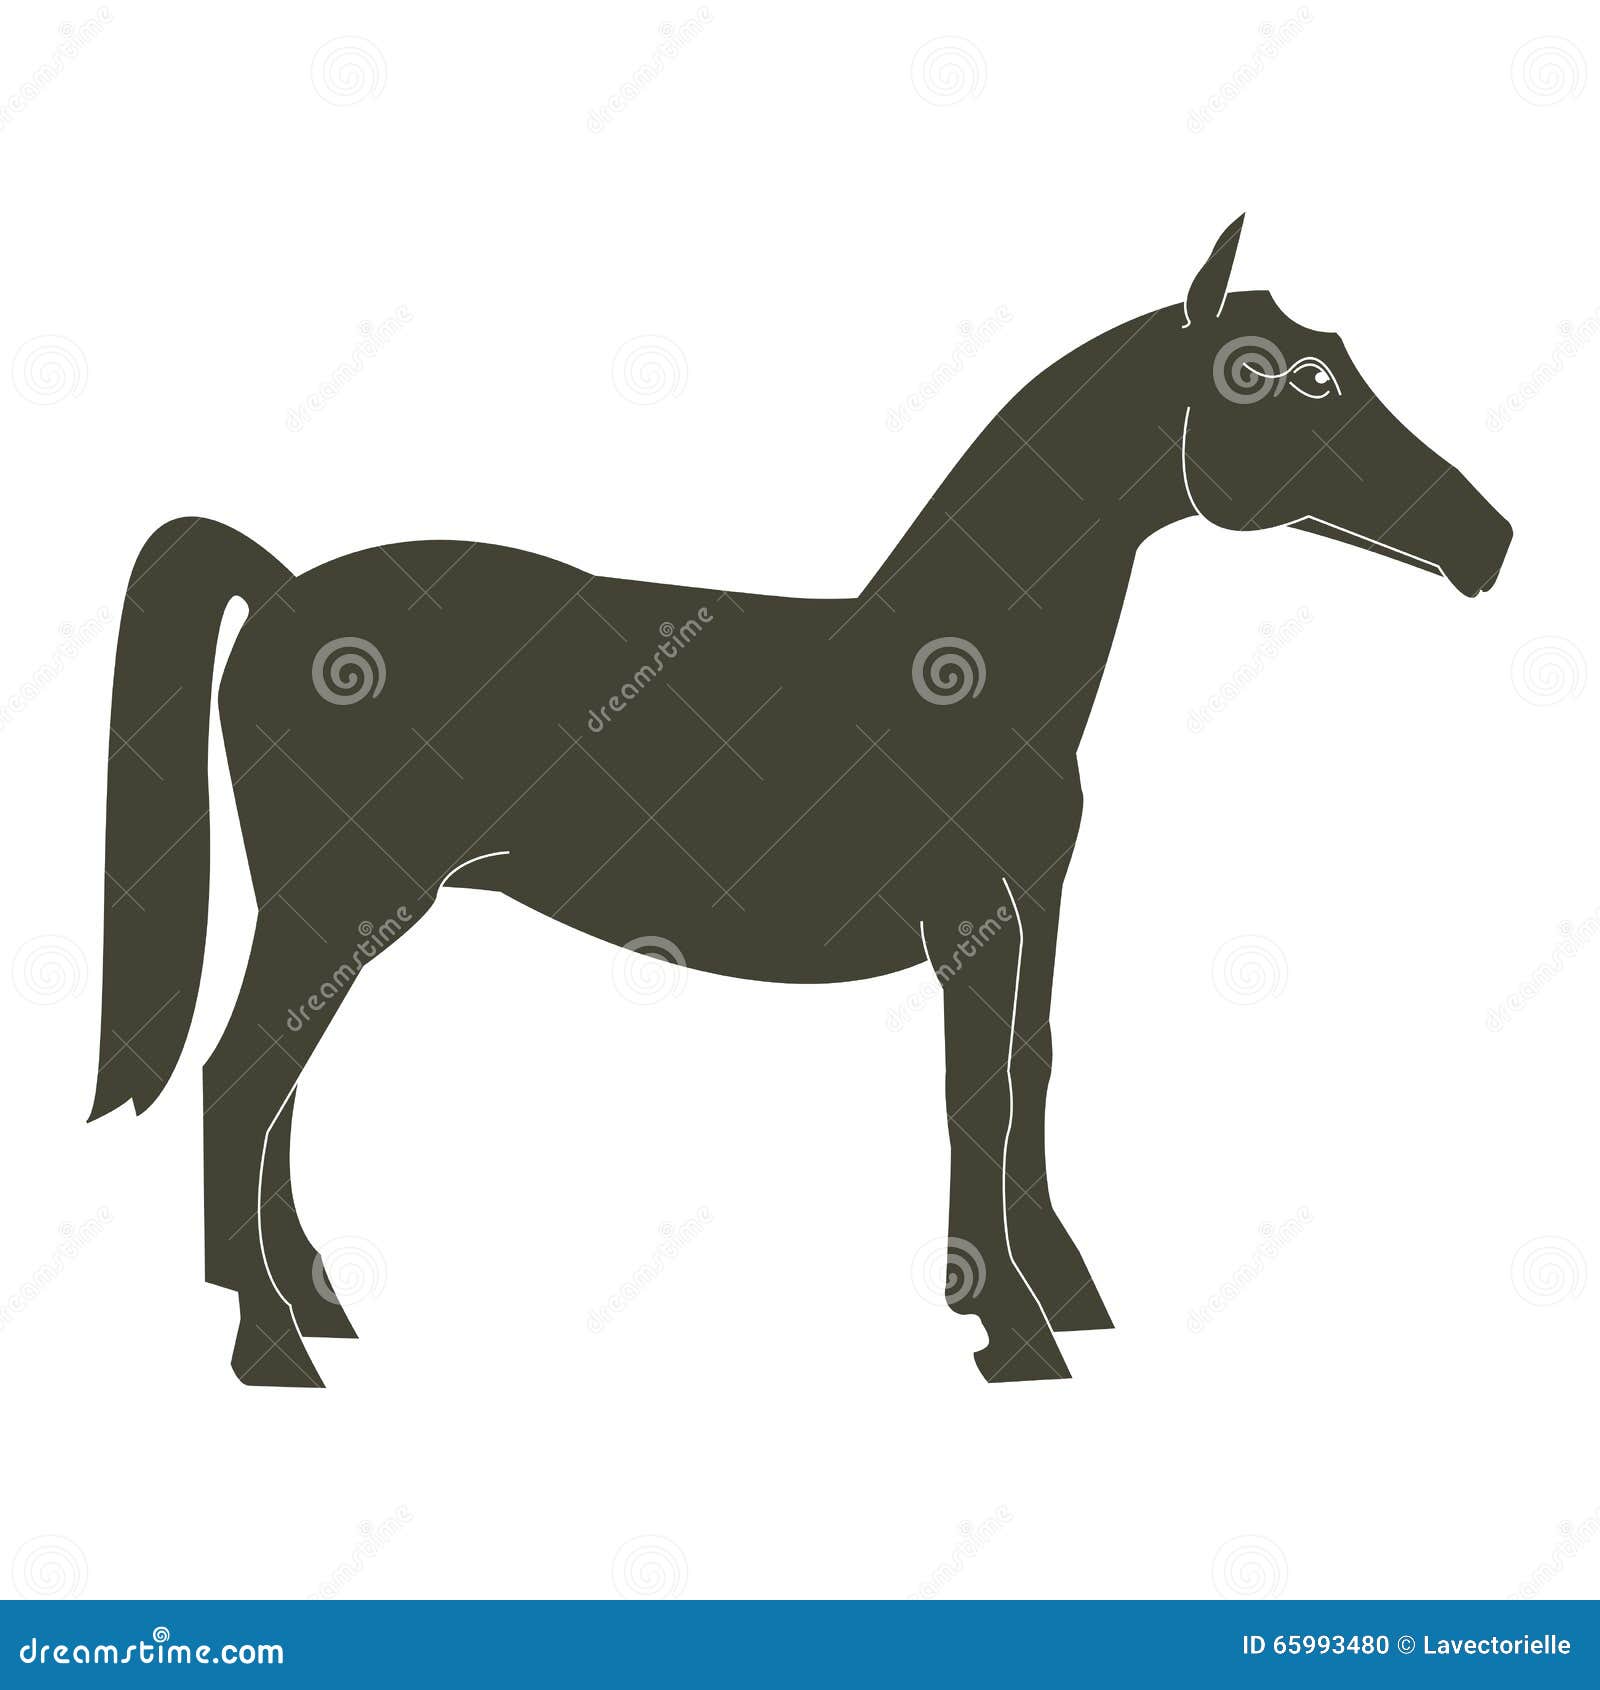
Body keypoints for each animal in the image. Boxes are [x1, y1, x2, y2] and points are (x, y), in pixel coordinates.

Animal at [89, 217, 1512, 1387]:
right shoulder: (968, 918)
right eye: (1297, 378)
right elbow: (976, 1093)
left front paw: (1057, 1290)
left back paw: (315, 1304)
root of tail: (283, 591)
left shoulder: (1034, 908)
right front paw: (1013, 1331)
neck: (969, 665)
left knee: (276, 1091)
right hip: (341, 898)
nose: (1489, 541)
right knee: (242, 1078)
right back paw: (272, 1347)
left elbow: (1031, 1071)